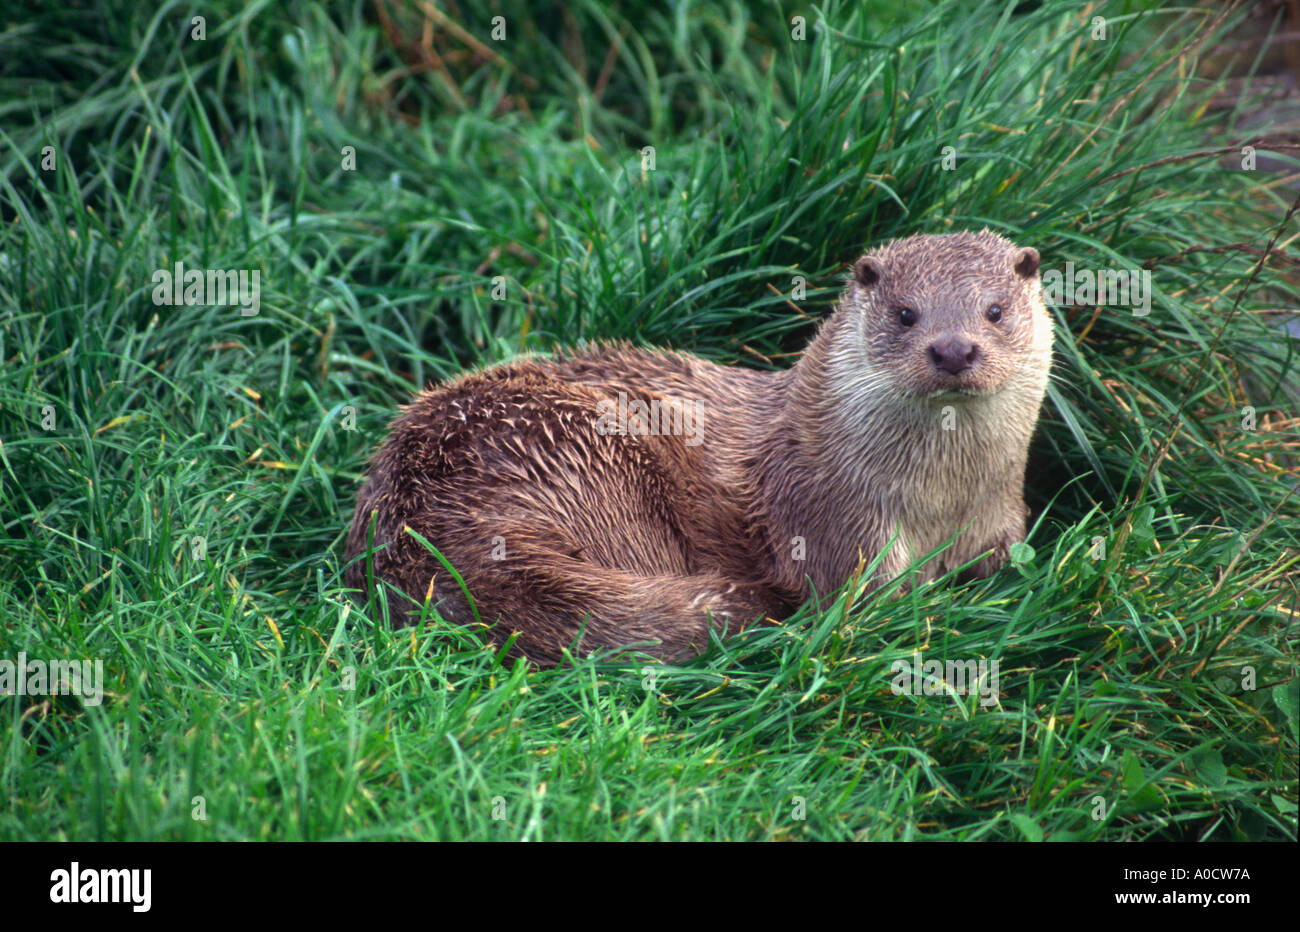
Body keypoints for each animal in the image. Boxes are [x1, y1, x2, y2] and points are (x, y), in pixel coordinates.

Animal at [344, 230, 1053, 664]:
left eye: (994, 311)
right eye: (906, 314)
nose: (954, 348)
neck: (940, 505)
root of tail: (429, 524)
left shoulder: (999, 517)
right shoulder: (839, 519)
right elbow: (864, 600)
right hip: (600, 463)